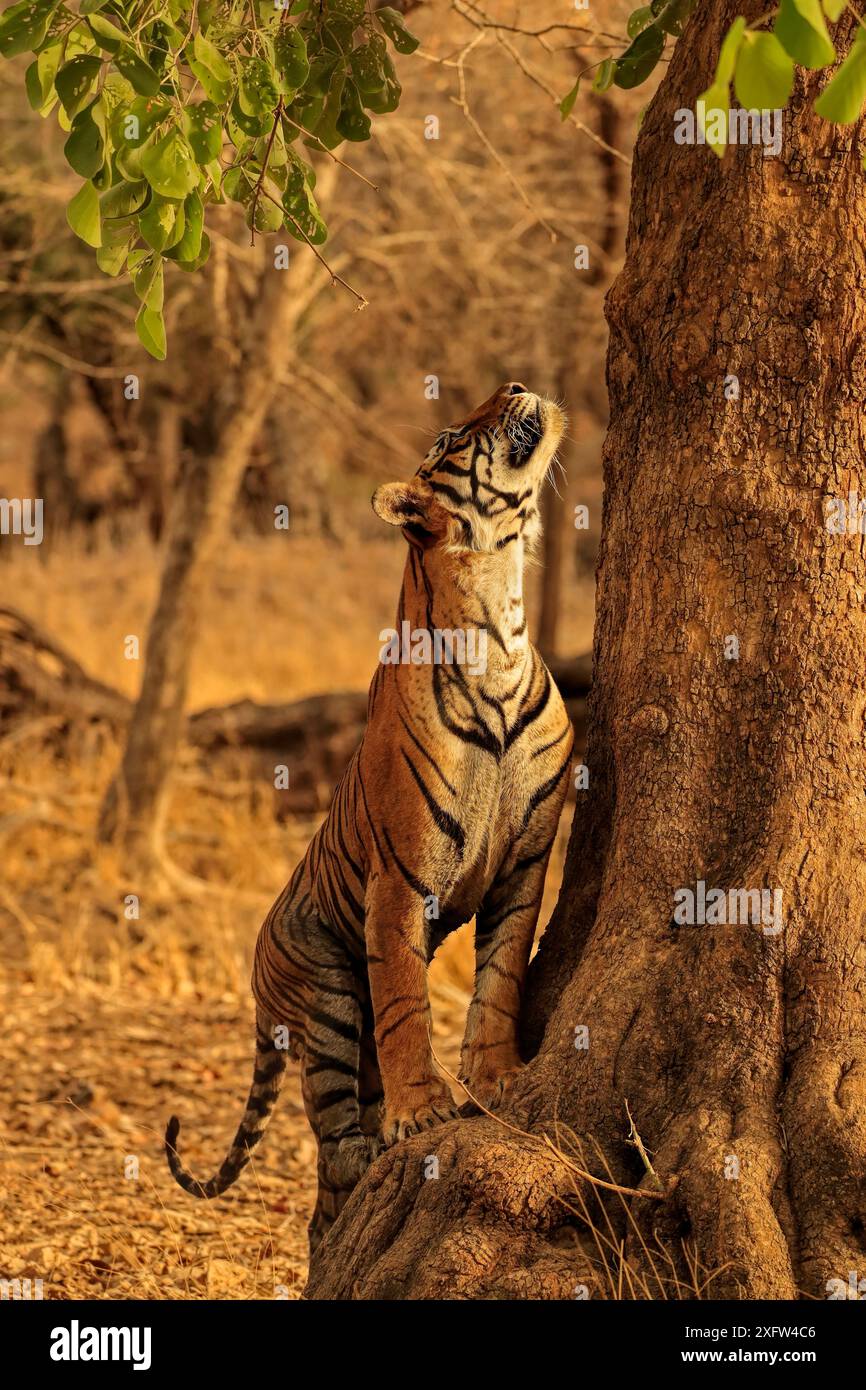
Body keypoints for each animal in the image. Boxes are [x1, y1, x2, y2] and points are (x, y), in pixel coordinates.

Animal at [165, 381, 574, 1252]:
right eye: (451, 435)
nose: (517, 383)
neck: (500, 621)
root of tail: (257, 966)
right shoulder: (399, 878)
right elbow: (407, 1006)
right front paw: (423, 1110)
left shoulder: (526, 862)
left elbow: (501, 977)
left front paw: (496, 1075)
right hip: (323, 995)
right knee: (331, 1130)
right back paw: (369, 1146)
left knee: (327, 1191)